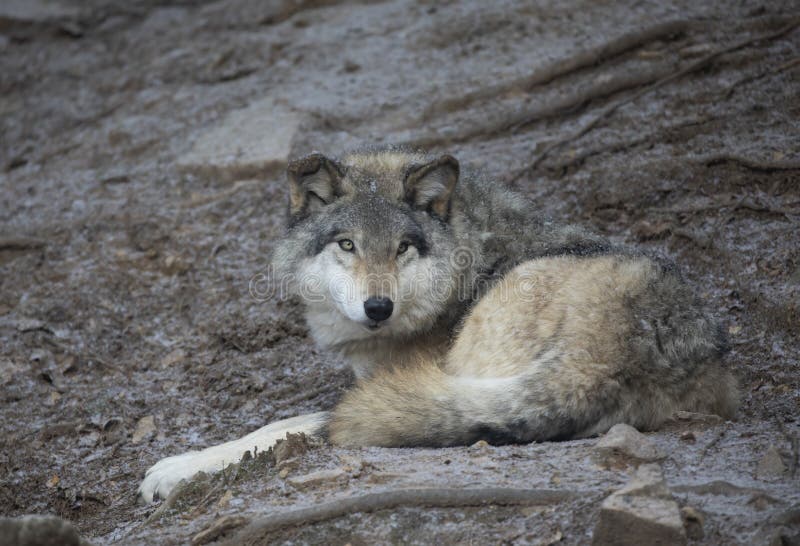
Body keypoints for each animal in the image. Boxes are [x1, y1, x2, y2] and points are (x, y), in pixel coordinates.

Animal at [138, 148, 738, 502]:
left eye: (403, 247)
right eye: (347, 245)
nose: (378, 308)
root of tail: (612, 360)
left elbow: (279, 424)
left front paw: (172, 470)